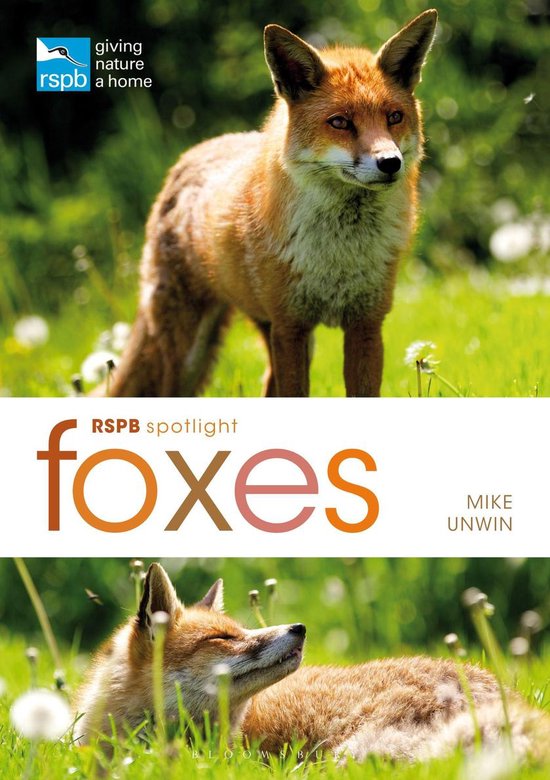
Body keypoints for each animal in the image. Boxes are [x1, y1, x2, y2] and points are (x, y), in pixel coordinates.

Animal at [107, 10, 438, 398]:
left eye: (394, 117)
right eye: (340, 122)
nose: (390, 162)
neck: (337, 255)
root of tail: (191, 155)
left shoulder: (366, 324)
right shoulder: (290, 326)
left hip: (271, 333)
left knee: (267, 385)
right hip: (191, 351)